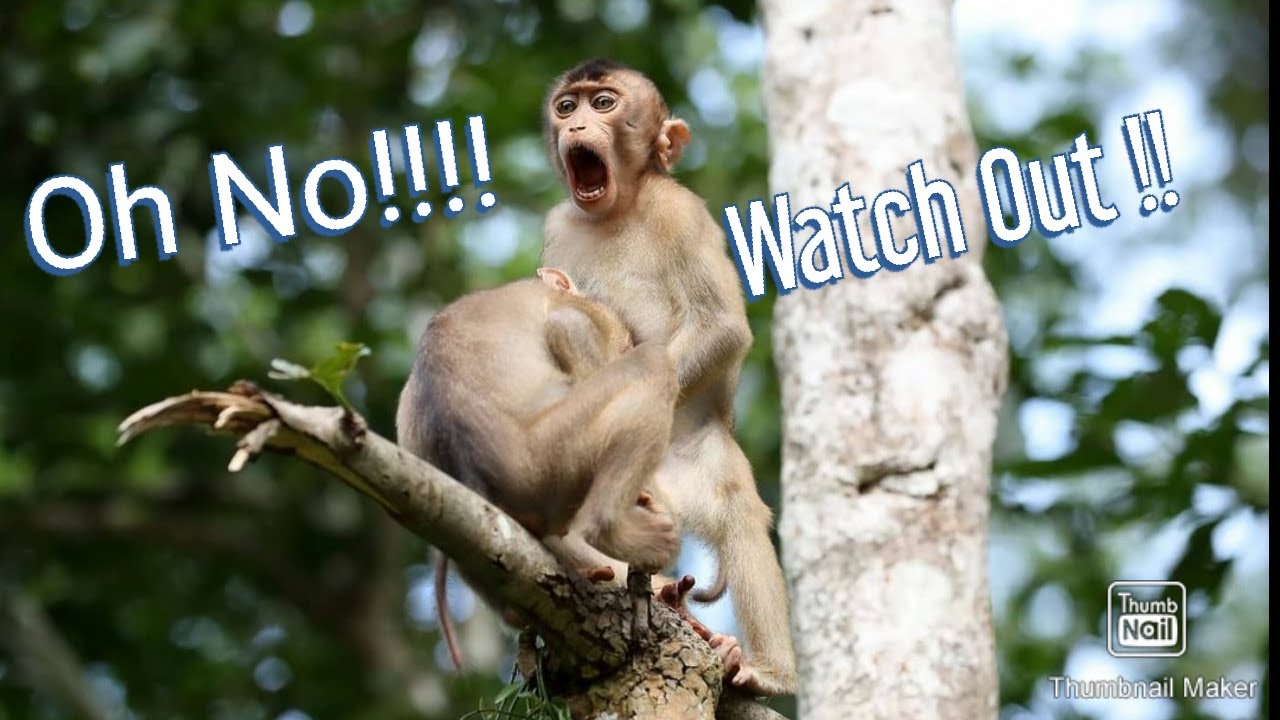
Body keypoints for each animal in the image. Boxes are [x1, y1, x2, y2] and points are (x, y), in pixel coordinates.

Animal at [396, 267, 683, 665]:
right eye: (622, 343)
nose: (620, 349)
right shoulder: (579, 319)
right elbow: (569, 327)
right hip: (552, 456)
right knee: (652, 364)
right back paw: (614, 530)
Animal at [538, 58, 797, 697]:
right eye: (566, 107)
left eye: (604, 103)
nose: (576, 123)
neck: (619, 209)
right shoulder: (560, 225)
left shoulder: (681, 213)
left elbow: (722, 326)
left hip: (702, 464)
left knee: (738, 513)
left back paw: (765, 672)